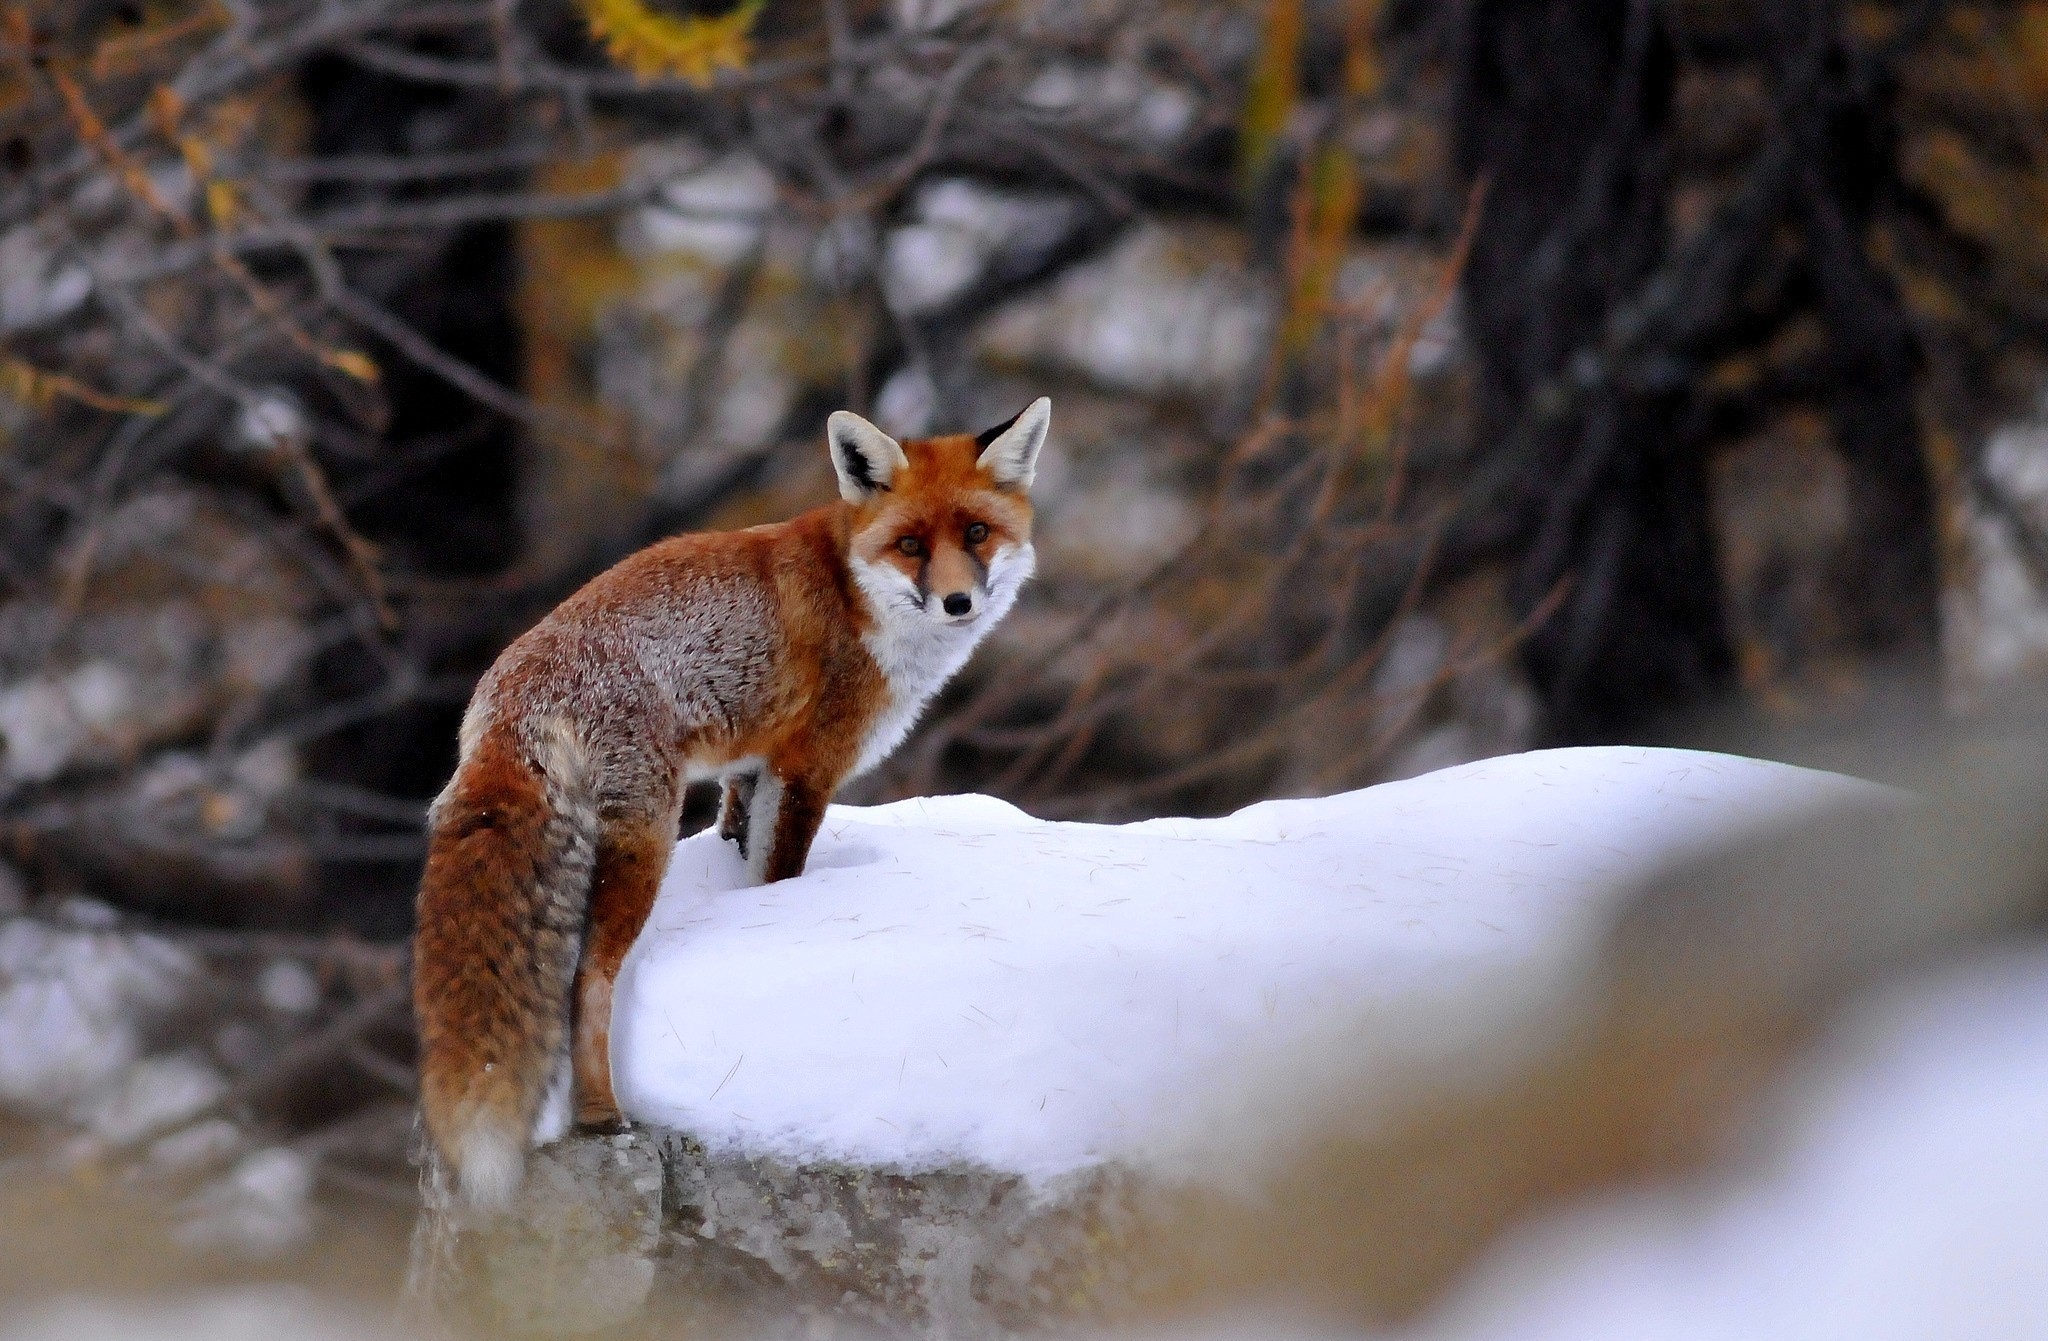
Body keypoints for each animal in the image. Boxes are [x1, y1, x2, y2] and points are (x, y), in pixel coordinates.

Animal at [412, 398, 1049, 1210]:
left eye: (976, 534)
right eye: (910, 545)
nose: (959, 601)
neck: (854, 594)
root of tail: (510, 692)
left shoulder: (750, 770)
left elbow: (738, 843)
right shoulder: (807, 768)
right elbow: (778, 876)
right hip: (644, 841)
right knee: (587, 981)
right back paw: (601, 1116)